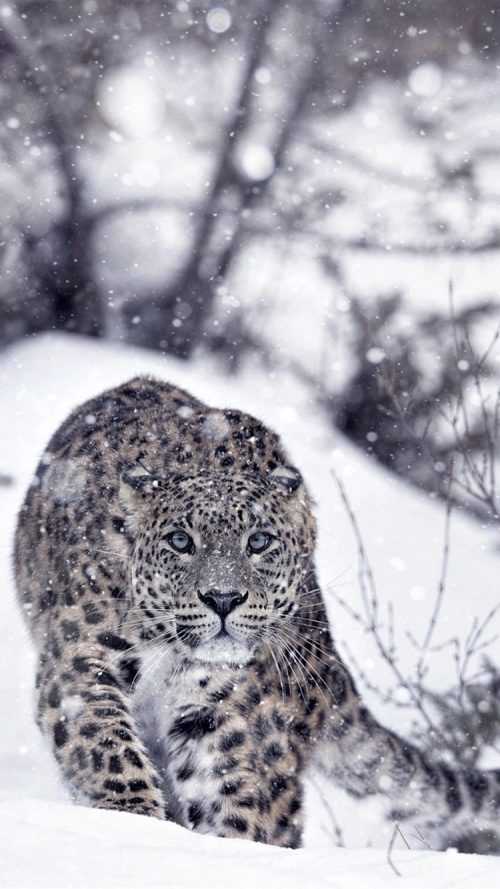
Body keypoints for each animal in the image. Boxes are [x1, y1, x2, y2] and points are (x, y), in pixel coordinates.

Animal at [14, 376, 500, 850]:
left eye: (259, 541)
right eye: (179, 541)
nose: (223, 598)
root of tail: (327, 658)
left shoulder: (220, 706)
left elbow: (229, 789)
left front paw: (223, 845)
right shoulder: (81, 657)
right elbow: (104, 741)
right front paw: (132, 816)